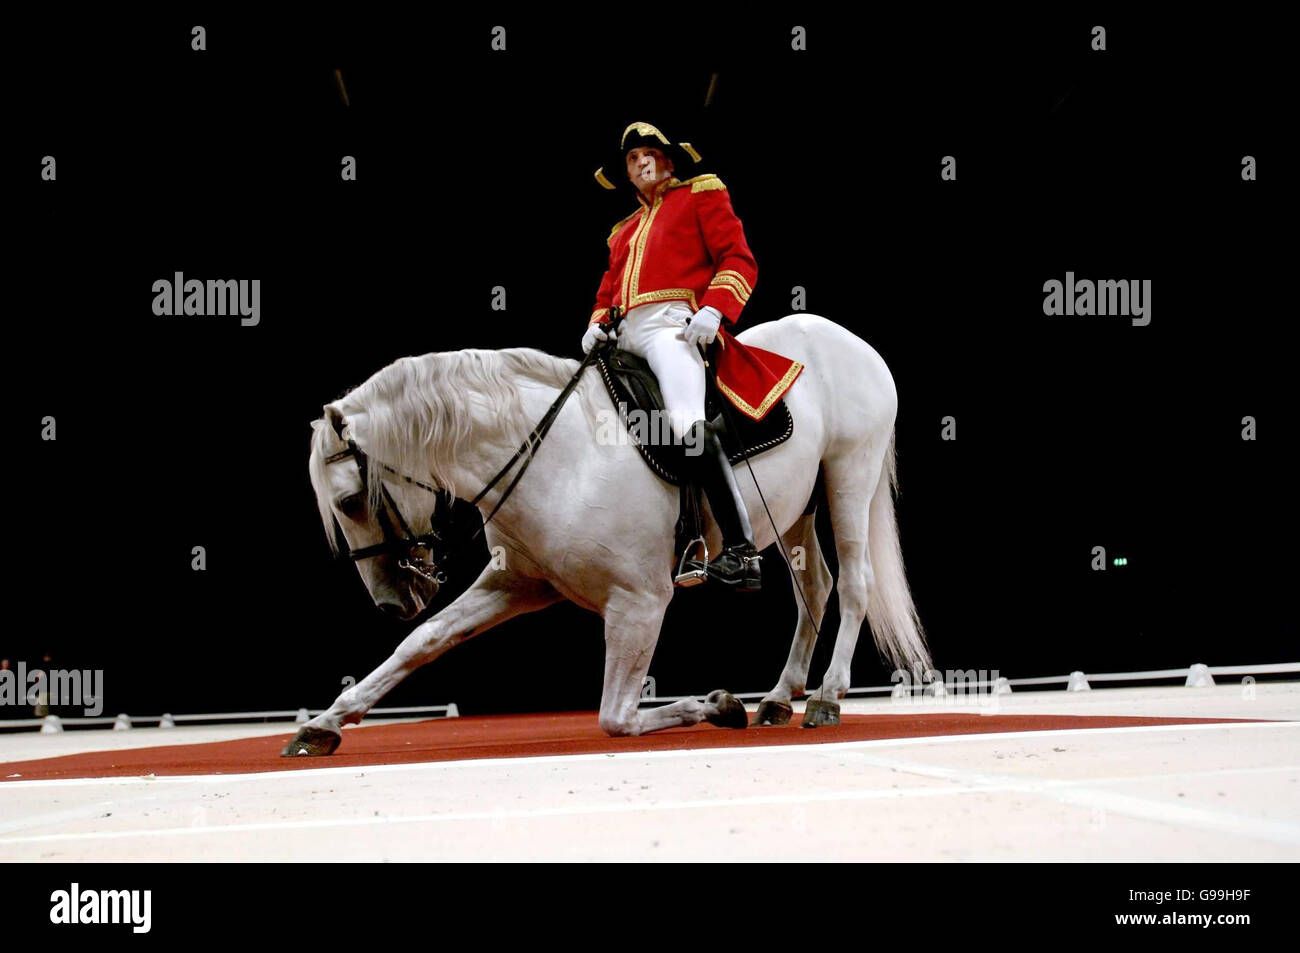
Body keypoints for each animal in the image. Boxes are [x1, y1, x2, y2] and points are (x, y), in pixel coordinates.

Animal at [286, 313, 931, 755]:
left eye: (349, 502)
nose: (393, 603)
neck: (555, 453)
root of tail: (843, 337)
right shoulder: (517, 584)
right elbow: (423, 642)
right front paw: (322, 724)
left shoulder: (639, 603)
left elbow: (615, 717)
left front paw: (717, 704)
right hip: (793, 508)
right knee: (815, 590)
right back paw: (778, 697)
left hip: (849, 477)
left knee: (854, 583)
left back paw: (825, 697)